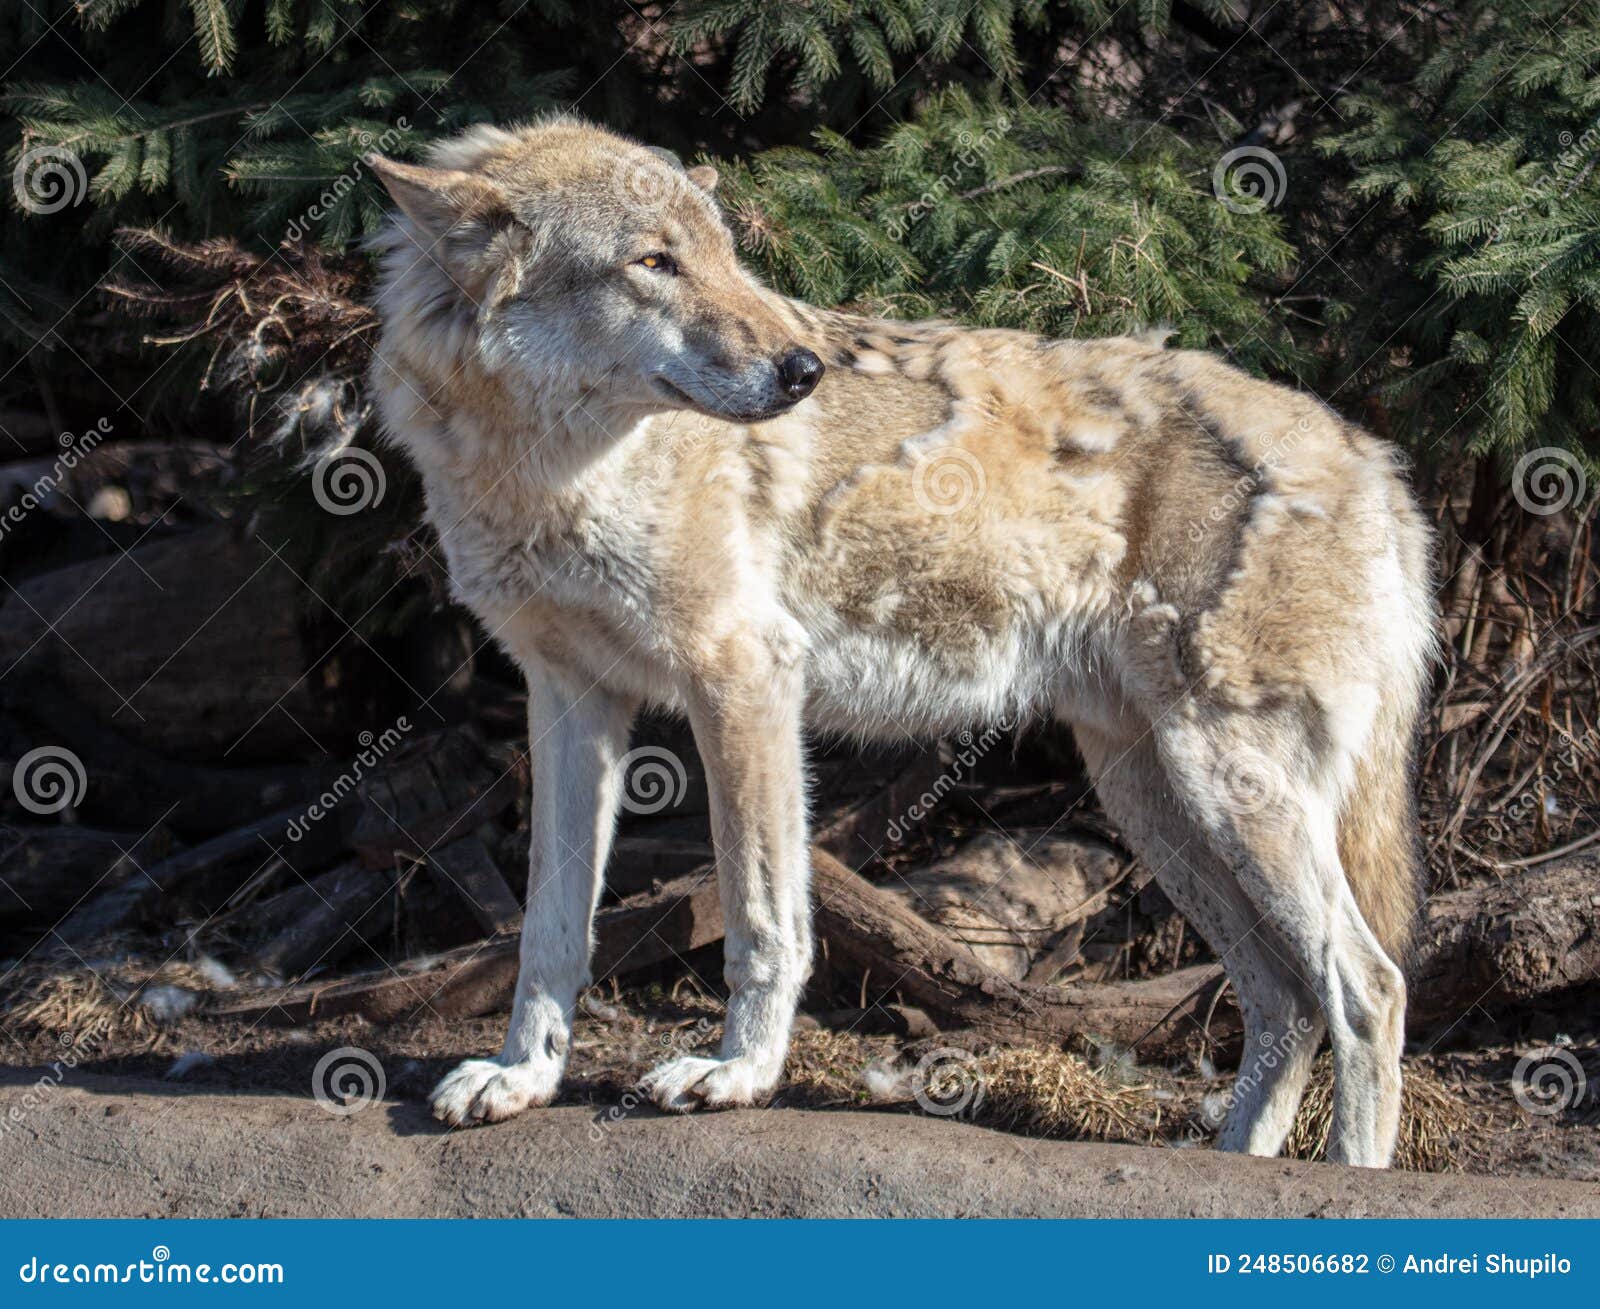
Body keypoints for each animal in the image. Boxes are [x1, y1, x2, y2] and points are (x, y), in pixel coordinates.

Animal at [366, 116, 1435, 1168]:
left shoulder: (744, 676)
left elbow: (761, 918)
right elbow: (547, 928)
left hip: (1228, 787)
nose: (802, 371)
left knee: (1370, 988)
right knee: (1287, 1001)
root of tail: (1374, 455)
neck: (550, 474)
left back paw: (1351, 1172)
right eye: (654, 262)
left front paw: (737, 1075)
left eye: (724, 257)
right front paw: (522, 1078)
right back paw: (1234, 1164)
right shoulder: (566, 697)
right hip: (1154, 795)